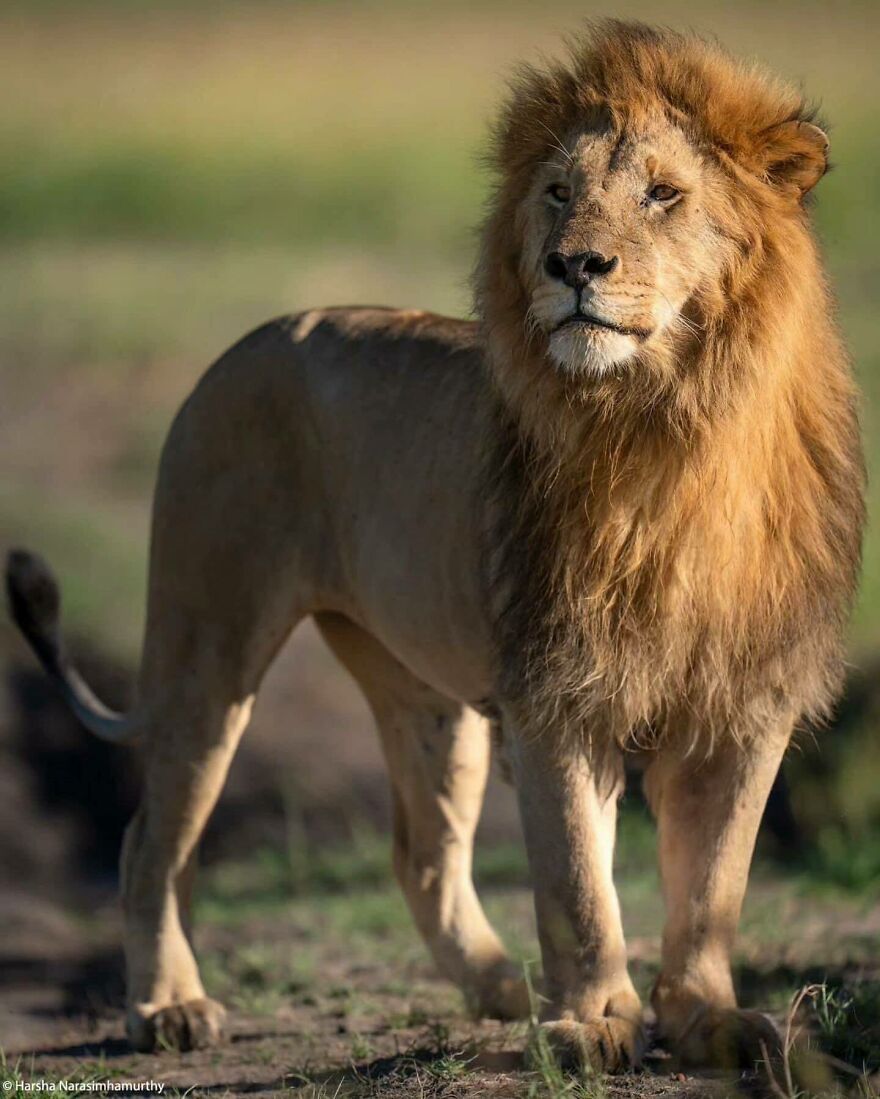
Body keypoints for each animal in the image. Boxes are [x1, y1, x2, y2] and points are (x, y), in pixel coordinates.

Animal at [5, 21, 864, 1074]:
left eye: (665, 194)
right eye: (558, 193)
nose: (573, 265)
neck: (665, 433)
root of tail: (250, 339)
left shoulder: (747, 702)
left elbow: (713, 888)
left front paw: (710, 1021)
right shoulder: (553, 694)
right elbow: (578, 884)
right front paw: (594, 1022)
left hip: (427, 696)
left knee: (421, 852)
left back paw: (505, 988)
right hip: (207, 645)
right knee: (149, 841)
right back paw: (169, 1006)